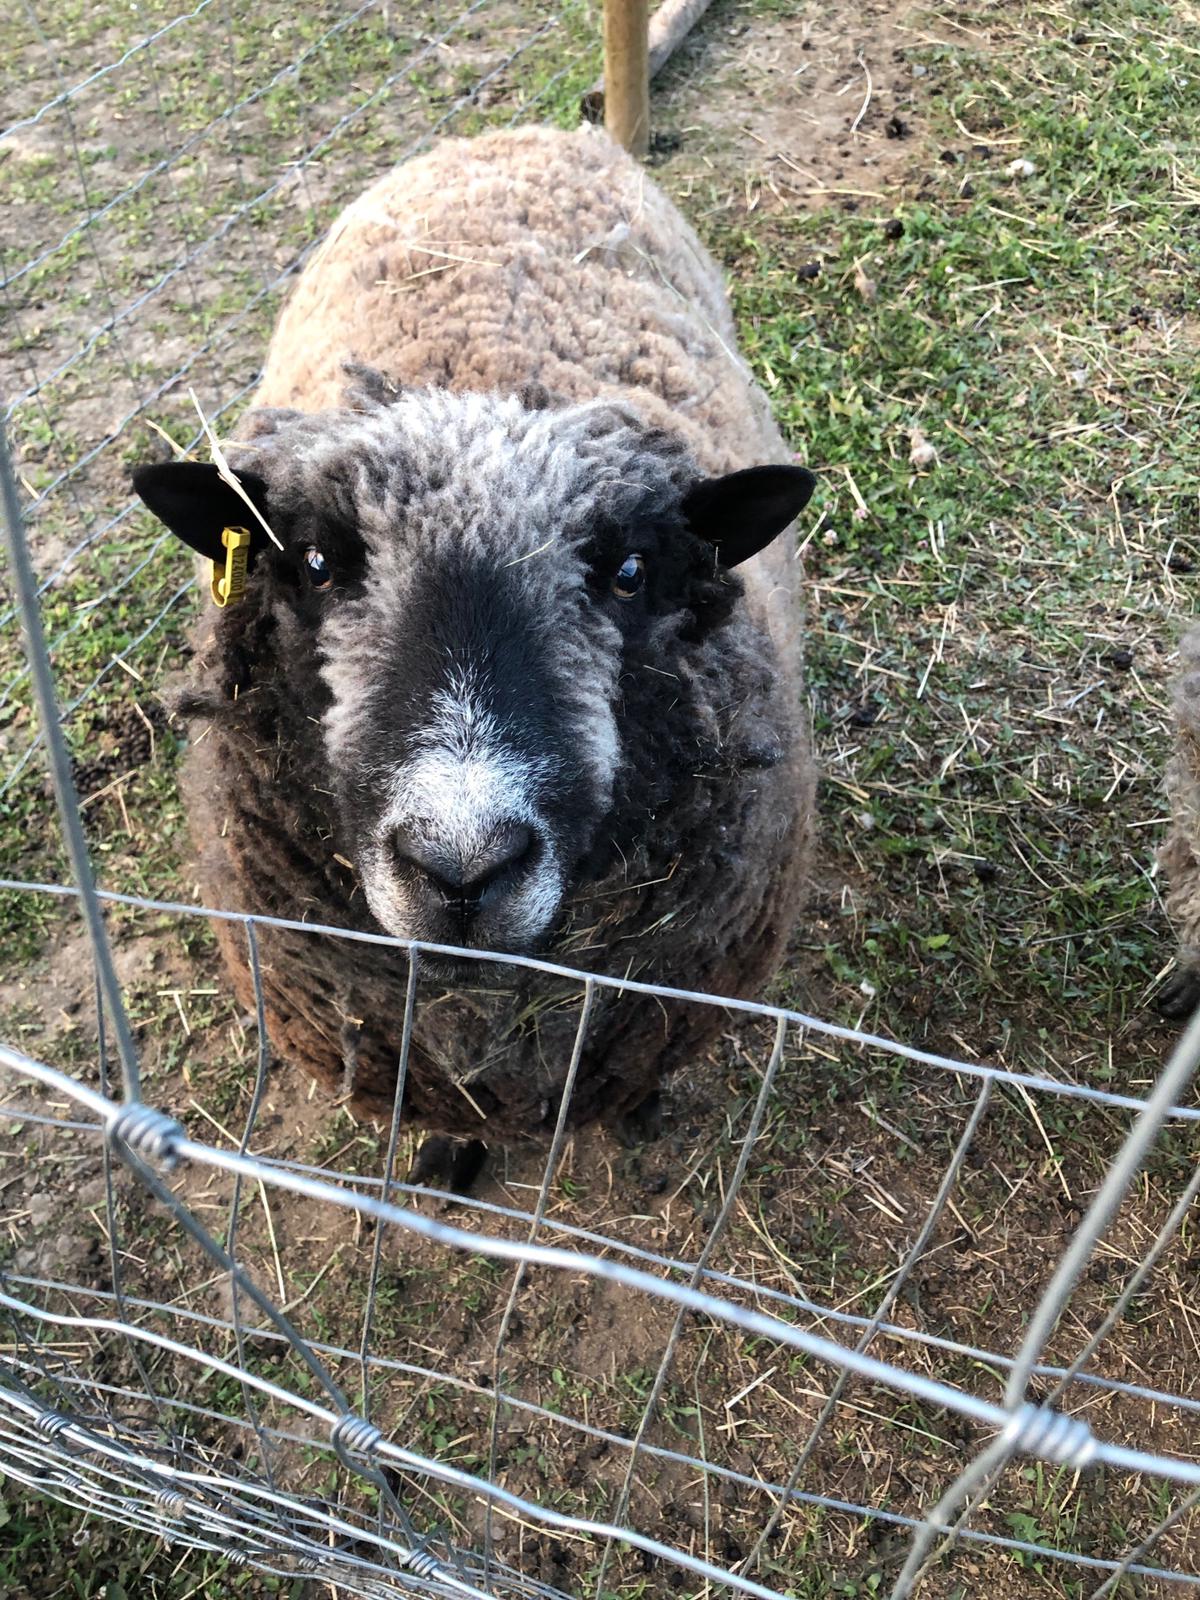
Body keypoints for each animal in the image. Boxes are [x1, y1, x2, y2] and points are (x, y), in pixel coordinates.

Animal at [132, 125, 817, 1157]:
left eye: (629, 573)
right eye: (318, 562)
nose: (461, 868)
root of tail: (523, 130)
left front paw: (639, 1123)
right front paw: (448, 1154)